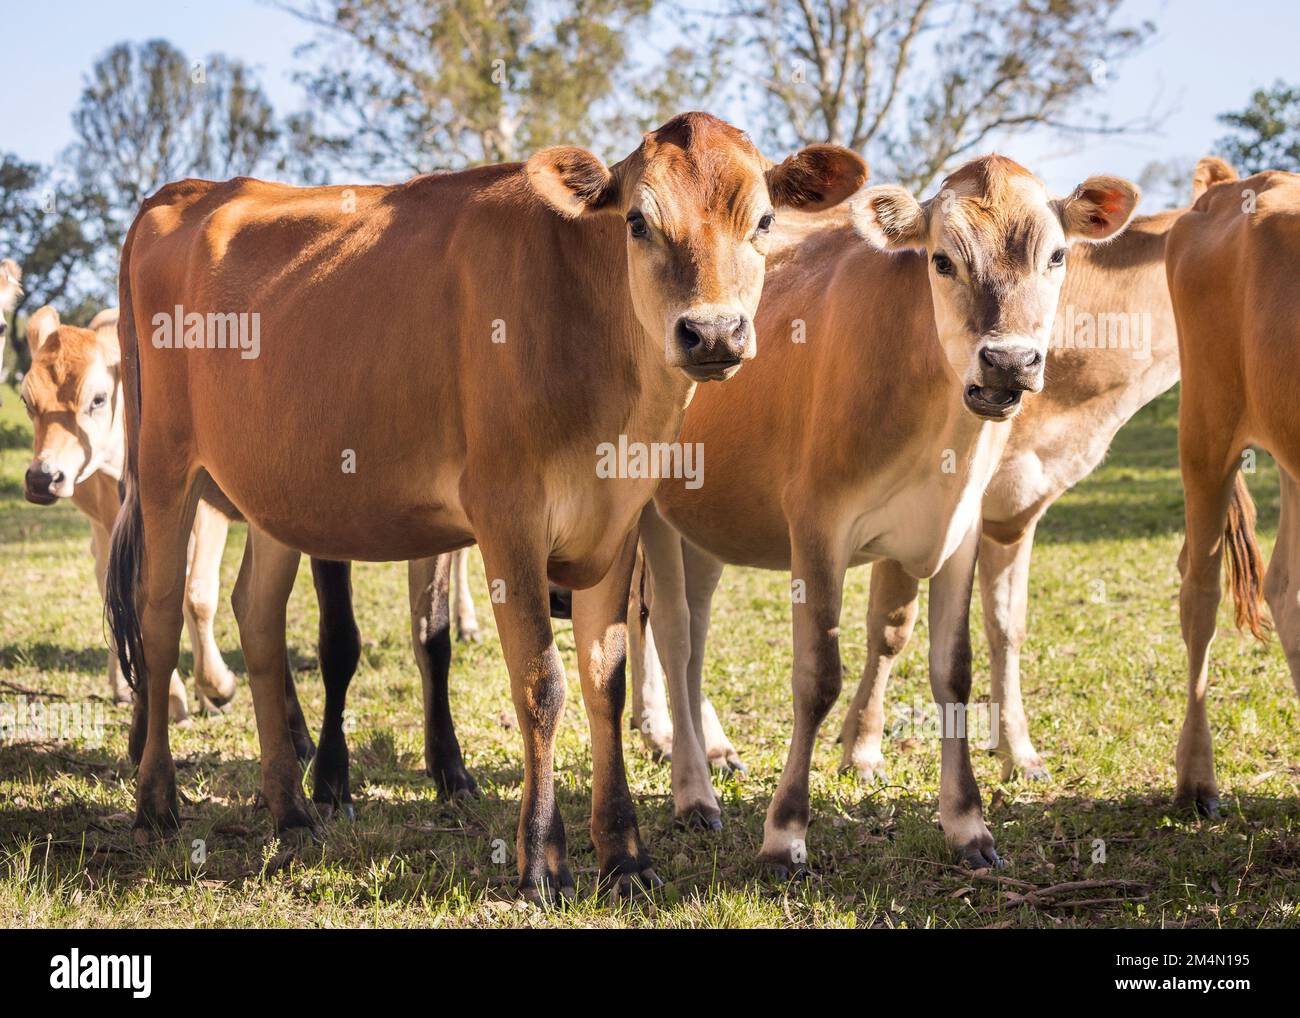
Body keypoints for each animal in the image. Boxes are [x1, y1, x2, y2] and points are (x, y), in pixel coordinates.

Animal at [105, 112, 866, 901]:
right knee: (157, 616)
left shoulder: (616, 523)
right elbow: (542, 686)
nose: (711, 331)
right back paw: (157, 803)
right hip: (162, 462)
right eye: (637, 221)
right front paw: (542, 861)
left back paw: (291, 811)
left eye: (765, 220)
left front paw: (624, 854)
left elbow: (606, 684)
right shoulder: (507, 516)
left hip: (275, 489)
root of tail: (187, 191)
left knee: (257, 617)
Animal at [640, 155, 1139, 873]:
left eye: (1057, 255)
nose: (1008, 361)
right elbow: (818, 677)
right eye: (941, 260)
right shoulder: (816, 525)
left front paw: (968, 824)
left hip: (700, 522)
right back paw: (692, 793)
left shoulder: (958, 531)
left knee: (695, 633)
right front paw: (784, 832)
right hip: (646, 507)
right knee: (672, 631)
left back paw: (713, 755)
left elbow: (953, 671)